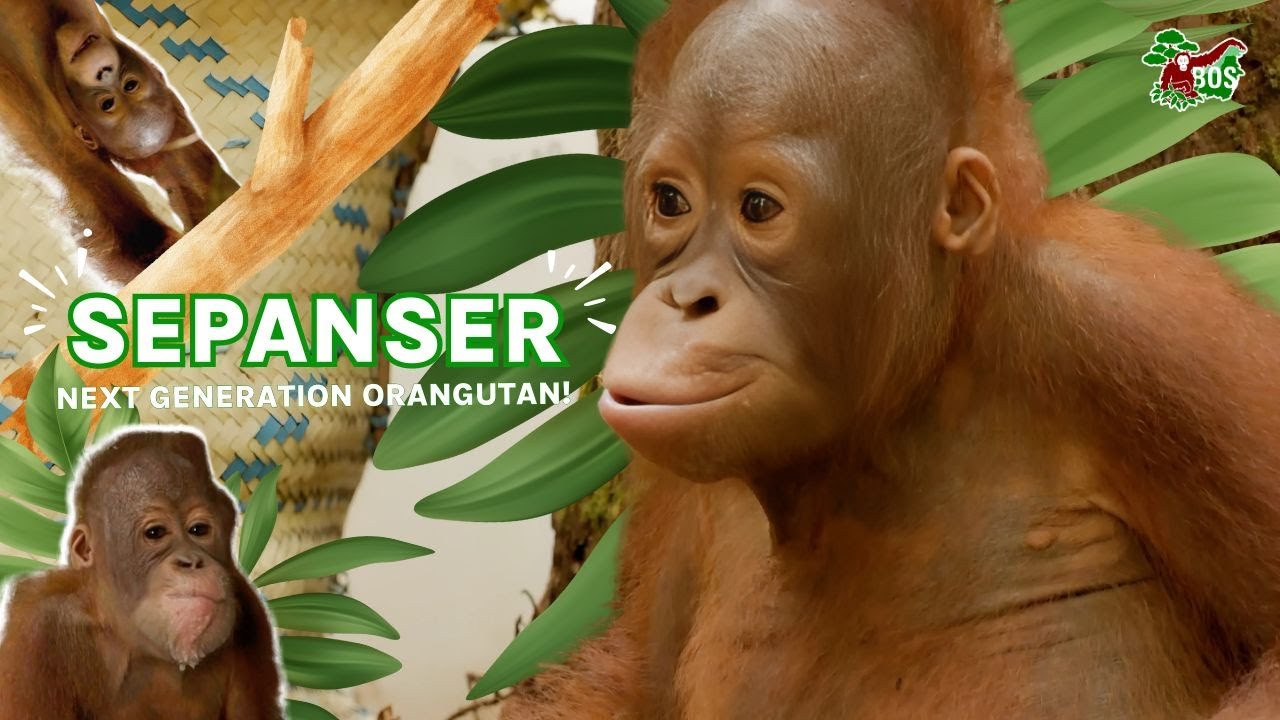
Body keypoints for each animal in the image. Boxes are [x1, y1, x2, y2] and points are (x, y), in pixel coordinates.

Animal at [501, 1, 1280, 718]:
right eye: (670, 201)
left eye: (758, 207)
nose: (687, 297)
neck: (895, 419)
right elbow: (639, 679)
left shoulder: (1135, 333)